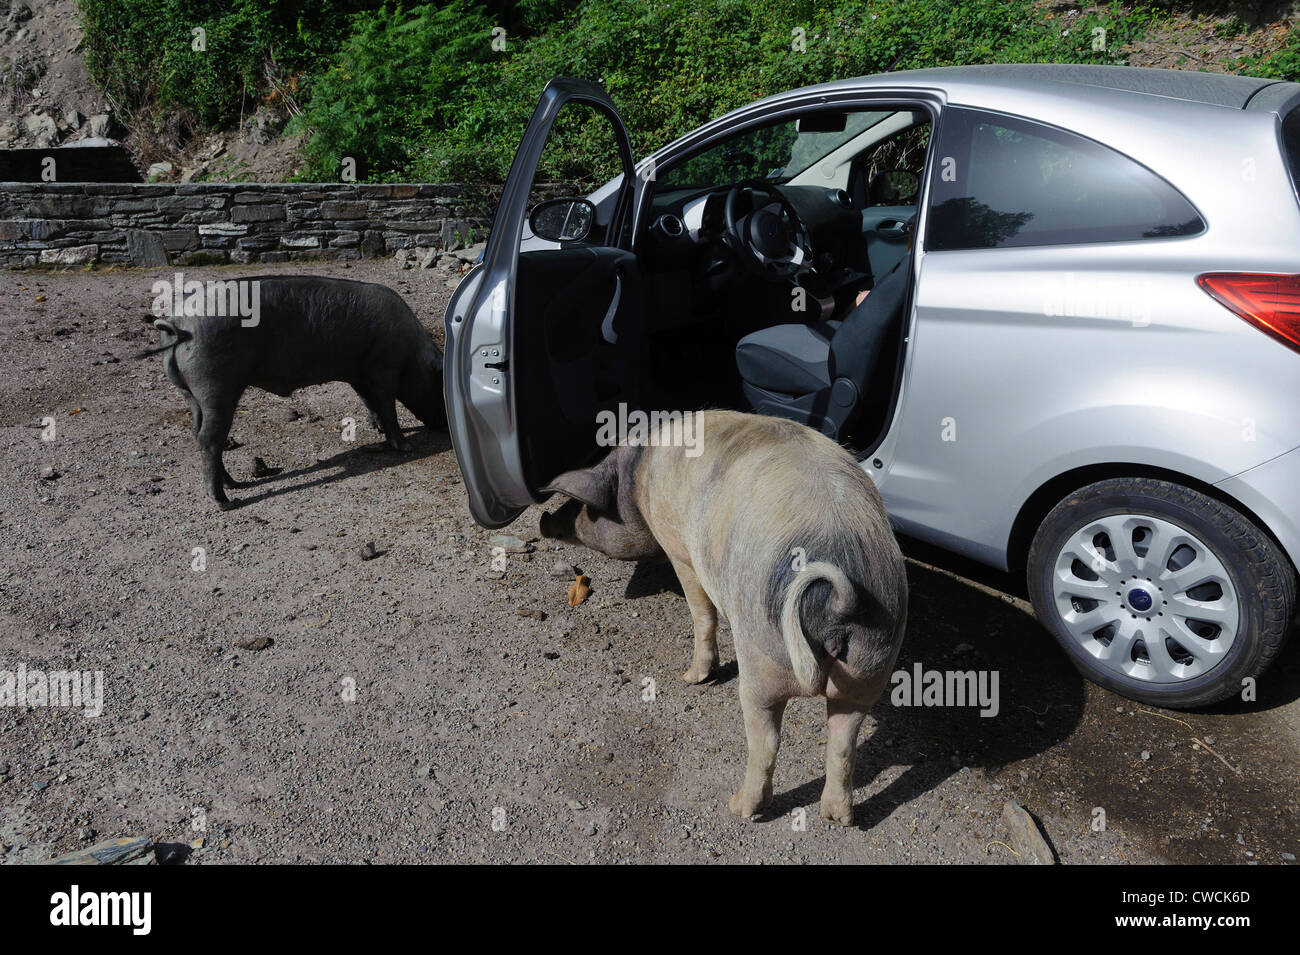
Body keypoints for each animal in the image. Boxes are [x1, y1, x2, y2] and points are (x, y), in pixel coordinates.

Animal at [139, 276, 445, 507]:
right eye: (439, 387)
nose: (442, 427)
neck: (412, 354)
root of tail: (177, 323)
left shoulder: (359, 373)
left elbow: (369, 402)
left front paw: (378, 427)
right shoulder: (383, 366)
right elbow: (387, 404)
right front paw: (405, 446)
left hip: (190, 393)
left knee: (197, 432)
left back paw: (235, 484)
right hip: (216, 385)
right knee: (209, 438)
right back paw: (226, 501)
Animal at [538, 409, 908, 825]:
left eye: (587, 509)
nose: (544, 520)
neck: (638, 478)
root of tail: (836, 602)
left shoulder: (680, 548)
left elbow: (700, 609)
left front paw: (690, 678)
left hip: (764, 660)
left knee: (767, 740)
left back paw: (739, 807)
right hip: (872, 663)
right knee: (844, 743)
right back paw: (838, 818)